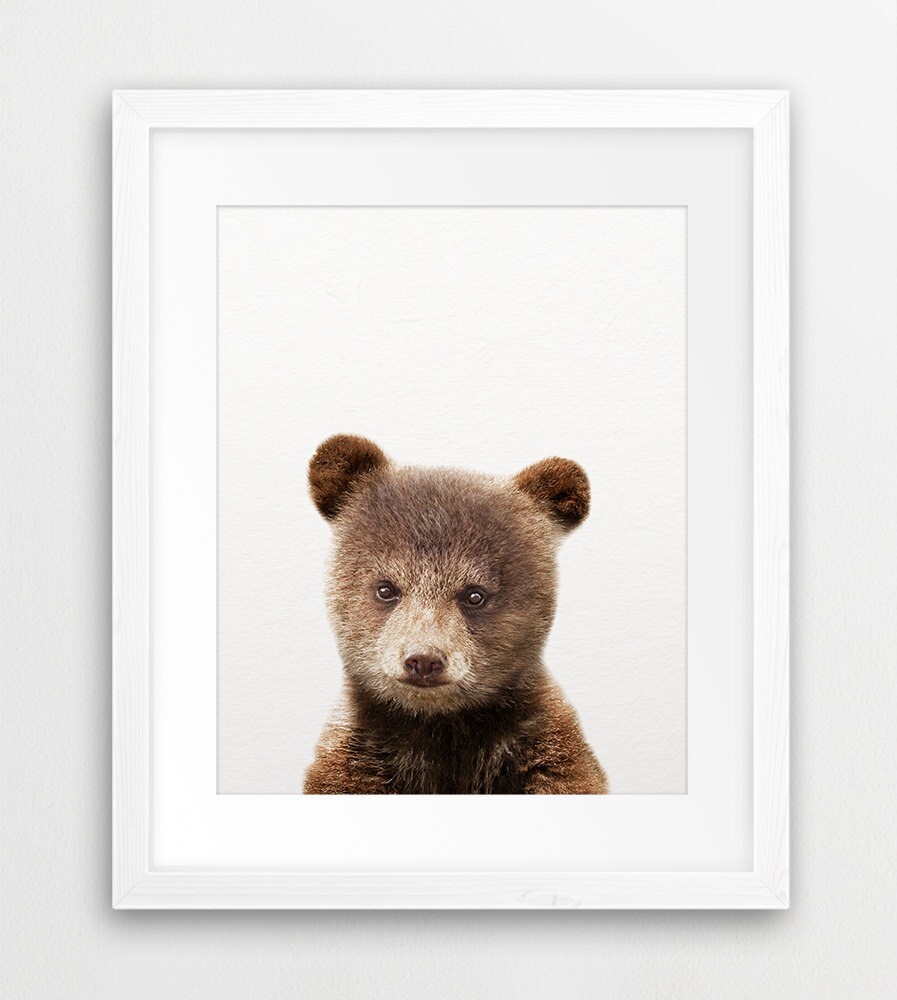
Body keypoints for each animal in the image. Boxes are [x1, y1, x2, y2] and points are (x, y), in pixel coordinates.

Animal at [303, 434, 608, 795]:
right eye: (386, 588)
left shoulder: (547, 752)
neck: (442, 729)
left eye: (475, 595)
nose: (423, 660)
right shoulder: (355, 759)